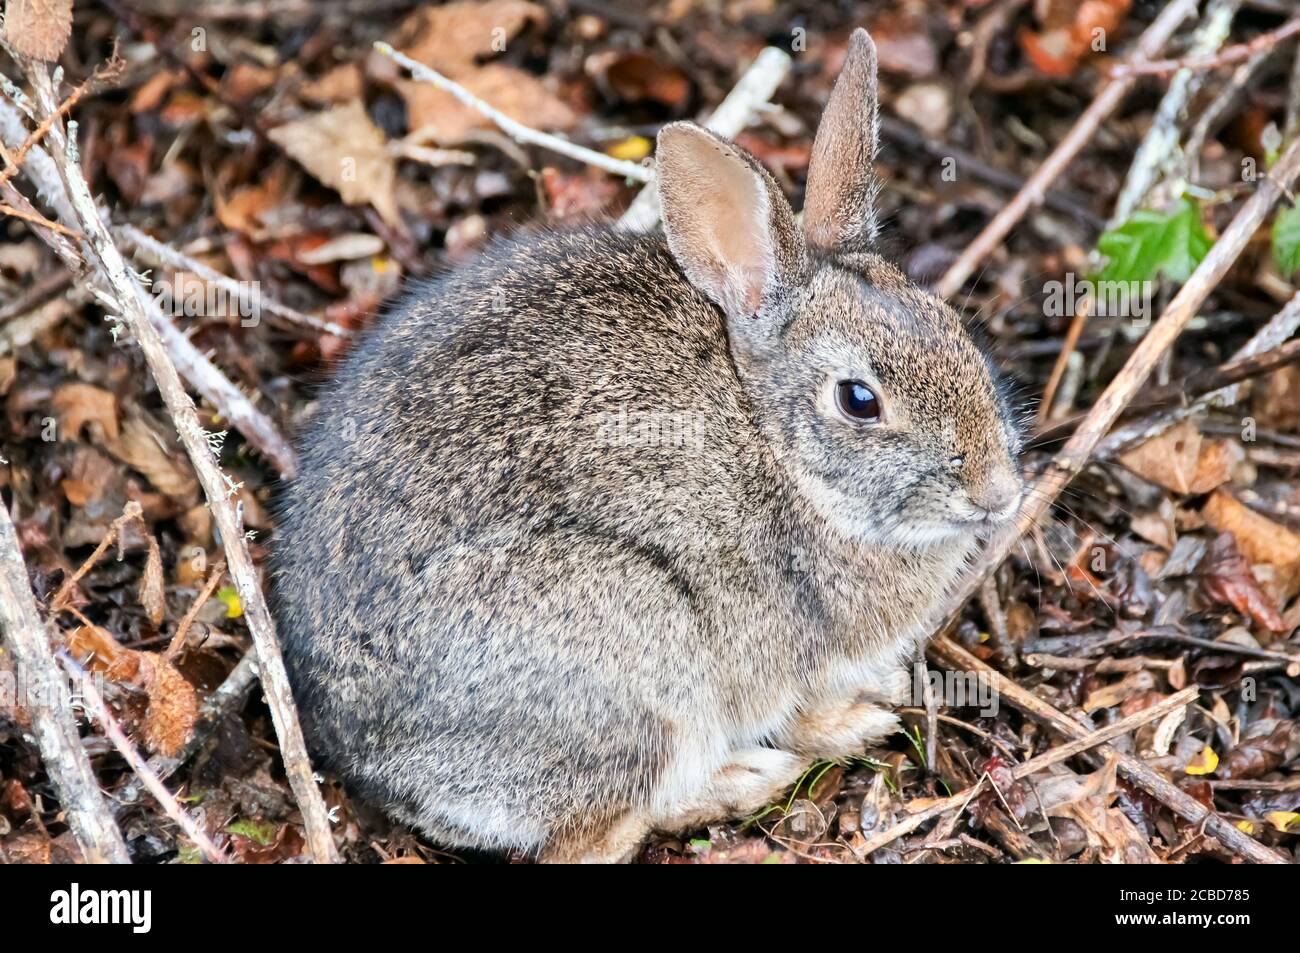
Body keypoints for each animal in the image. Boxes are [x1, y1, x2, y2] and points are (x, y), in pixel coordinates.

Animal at [271, 28, 1023, 863]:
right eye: (859, 400)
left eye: (956, 330)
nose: (999, 492)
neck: (781, 451)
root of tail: (365, 757)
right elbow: (806, 711)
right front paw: (860, 720)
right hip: (638, 650)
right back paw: (747, 778)